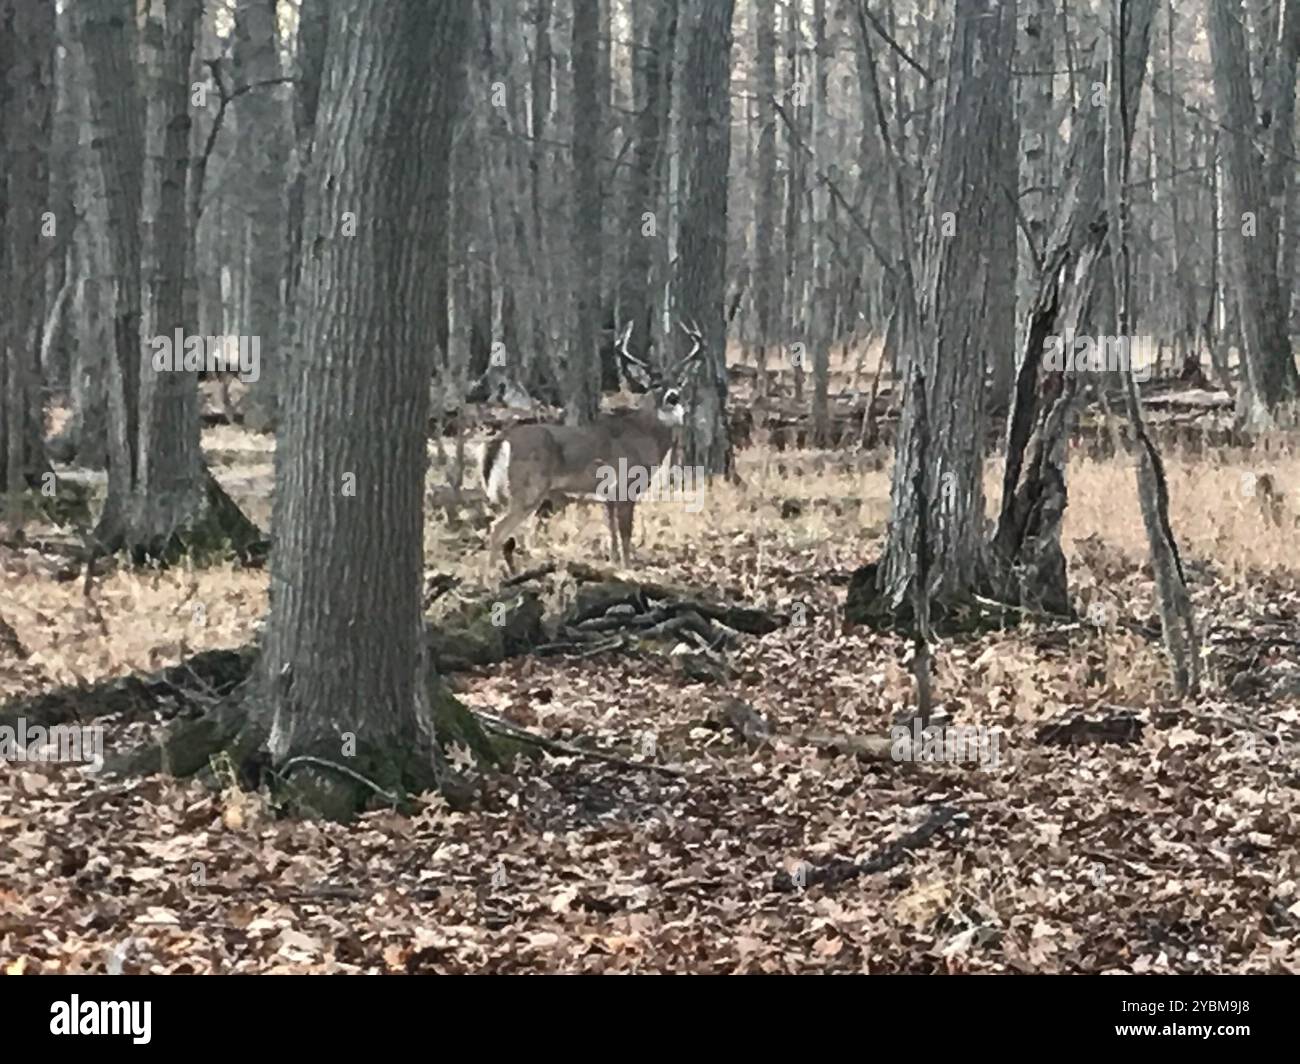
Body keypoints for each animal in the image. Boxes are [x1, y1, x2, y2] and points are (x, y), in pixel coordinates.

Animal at [480, 323, 701, 576]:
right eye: (656, 385)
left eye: (679, 383)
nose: (673, 397)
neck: (644, 435)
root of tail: (502, 439)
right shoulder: (626, 486)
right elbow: (625, 534)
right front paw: (628, 569)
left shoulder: (608, 496)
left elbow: (612, 533)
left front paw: (613, 564)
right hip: (528, 487)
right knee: (497, 529)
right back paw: (489, 580)